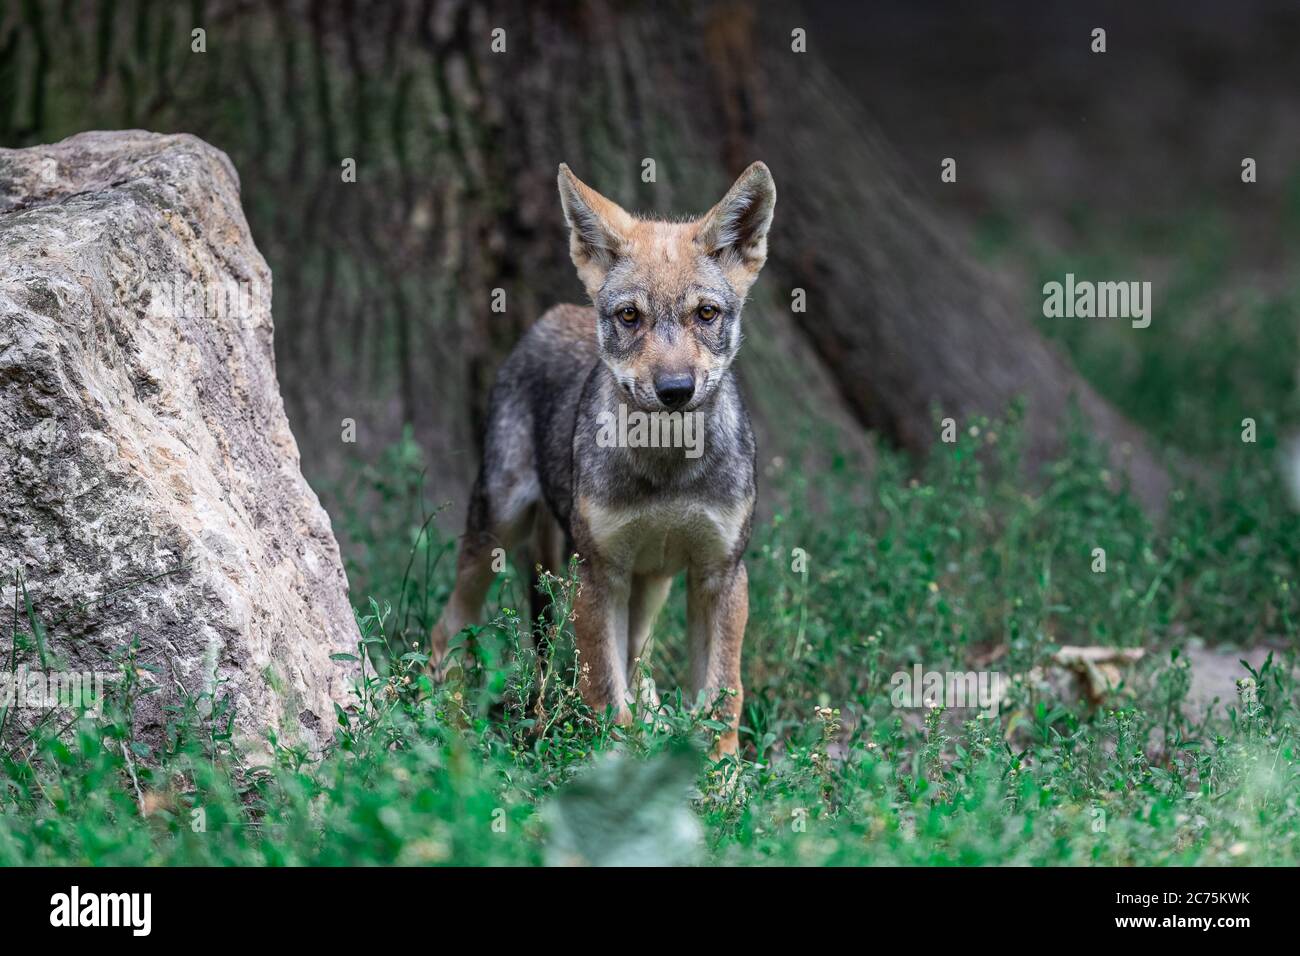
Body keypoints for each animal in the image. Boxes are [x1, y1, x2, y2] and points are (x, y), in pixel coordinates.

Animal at [431, 162, 776, 756]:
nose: (675, 390)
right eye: (630, 316)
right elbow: (604, 695)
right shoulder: (599, 575)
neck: (667, 468)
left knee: (637, 663)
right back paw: (444, 720)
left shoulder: (720, 574)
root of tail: (552, 314)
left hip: (650, 583)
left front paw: (724, 773)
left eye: (706, 314)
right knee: (451, 626)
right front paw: (616, 766)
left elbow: (721, 695)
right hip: (498, 532)